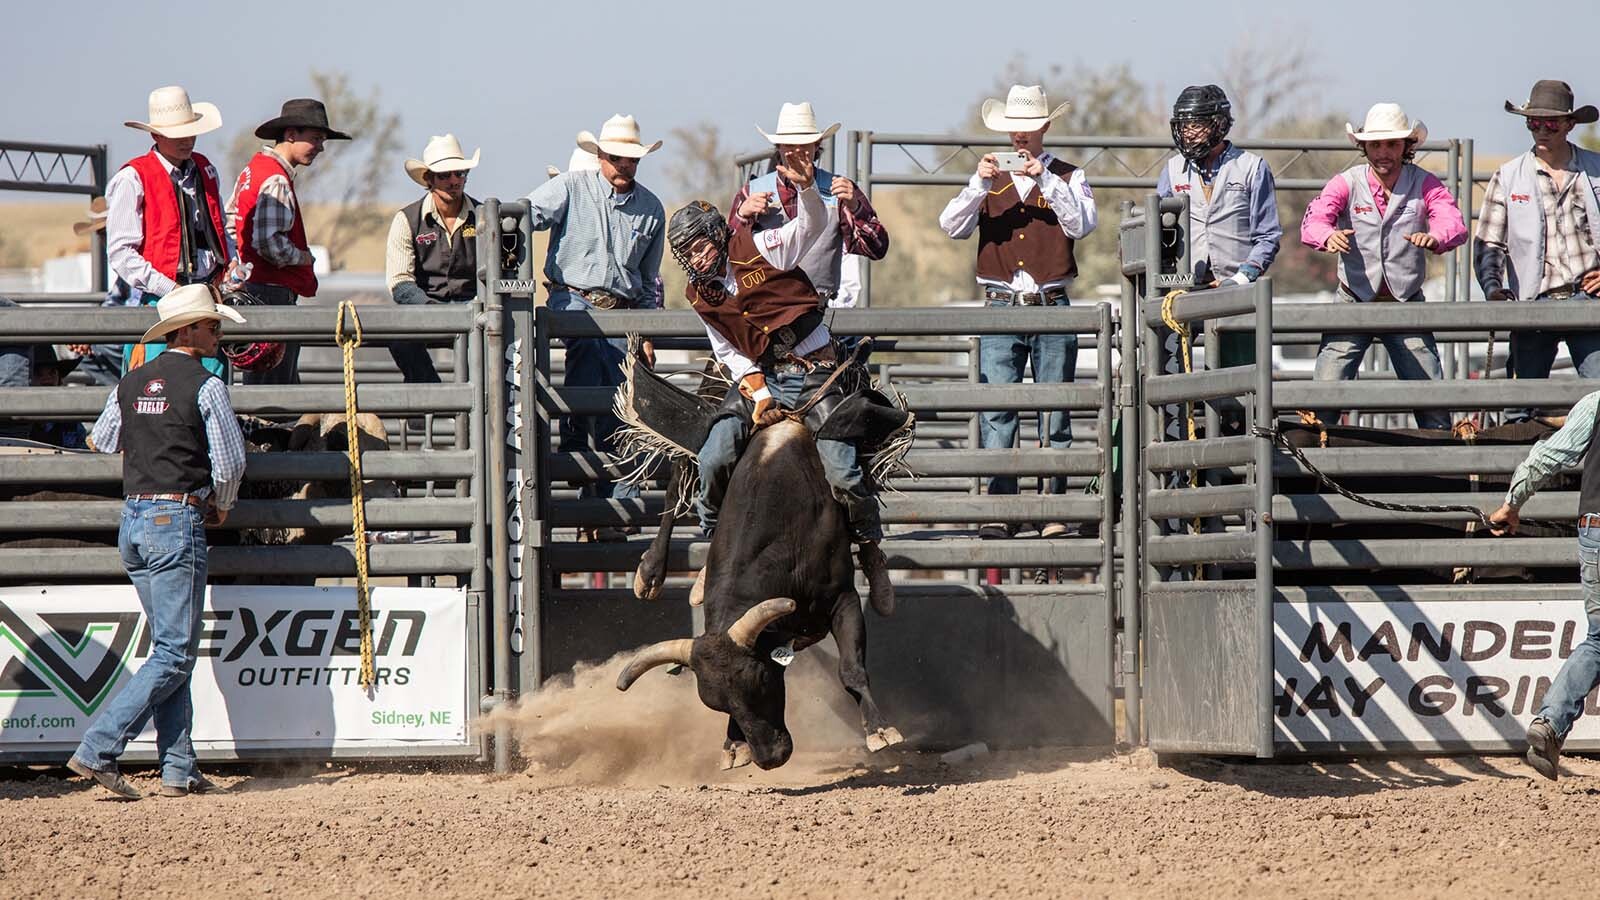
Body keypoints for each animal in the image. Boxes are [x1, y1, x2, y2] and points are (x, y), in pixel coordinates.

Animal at [616, 417, 903, 771]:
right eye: (720, 705)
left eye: (763, 680)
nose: (770, 759)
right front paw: (733, 745)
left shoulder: (843, 598)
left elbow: (850, 669)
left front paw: (880, 730)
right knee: (678, 481)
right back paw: (650, 573)